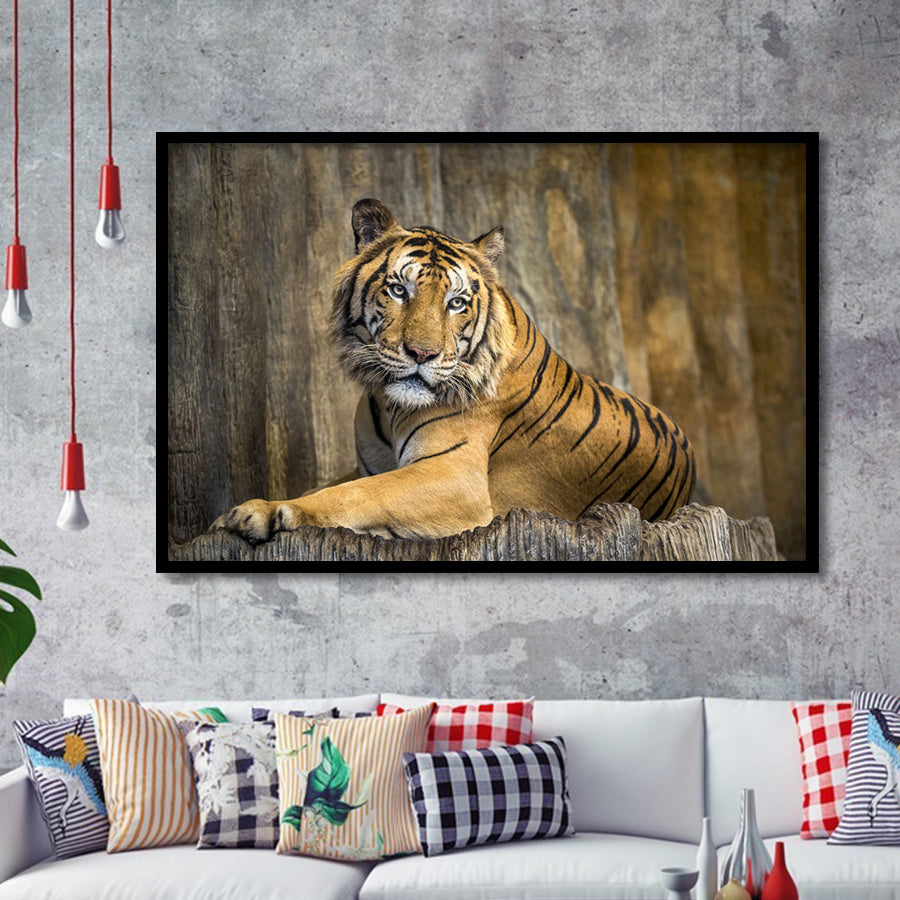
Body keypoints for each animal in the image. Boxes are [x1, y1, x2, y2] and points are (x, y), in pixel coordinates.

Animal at [209, 198, 696, 544]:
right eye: (398, 290)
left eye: (456, 302)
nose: (421, 353)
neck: (389, 406)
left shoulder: (452, 477)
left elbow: (356, 495)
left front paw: (264, 512)